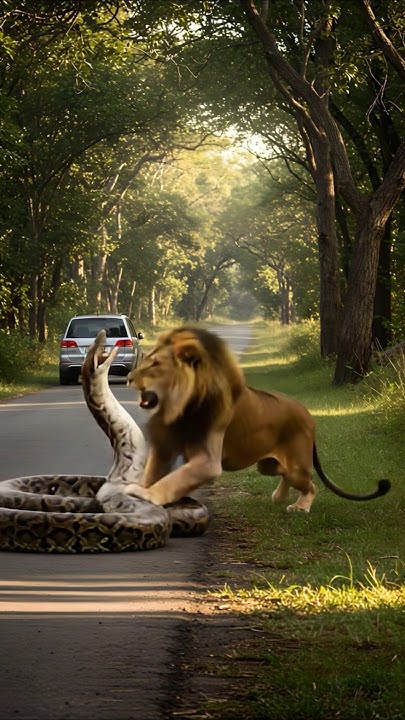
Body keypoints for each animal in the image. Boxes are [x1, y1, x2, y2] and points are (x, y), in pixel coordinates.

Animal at [126, 325, 390, 512]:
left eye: (155, 365)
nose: (127, 378)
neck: (178, 407)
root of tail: (307, 412)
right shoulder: (165, 447)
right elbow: (153, 473)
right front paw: (140, 489)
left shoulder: (208, 460)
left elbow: (174, 480)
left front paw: (146, 494)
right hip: (267, 465)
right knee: (284, 474)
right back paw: (279, 496)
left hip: (296, 465)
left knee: (309, 483)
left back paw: (299, 507)